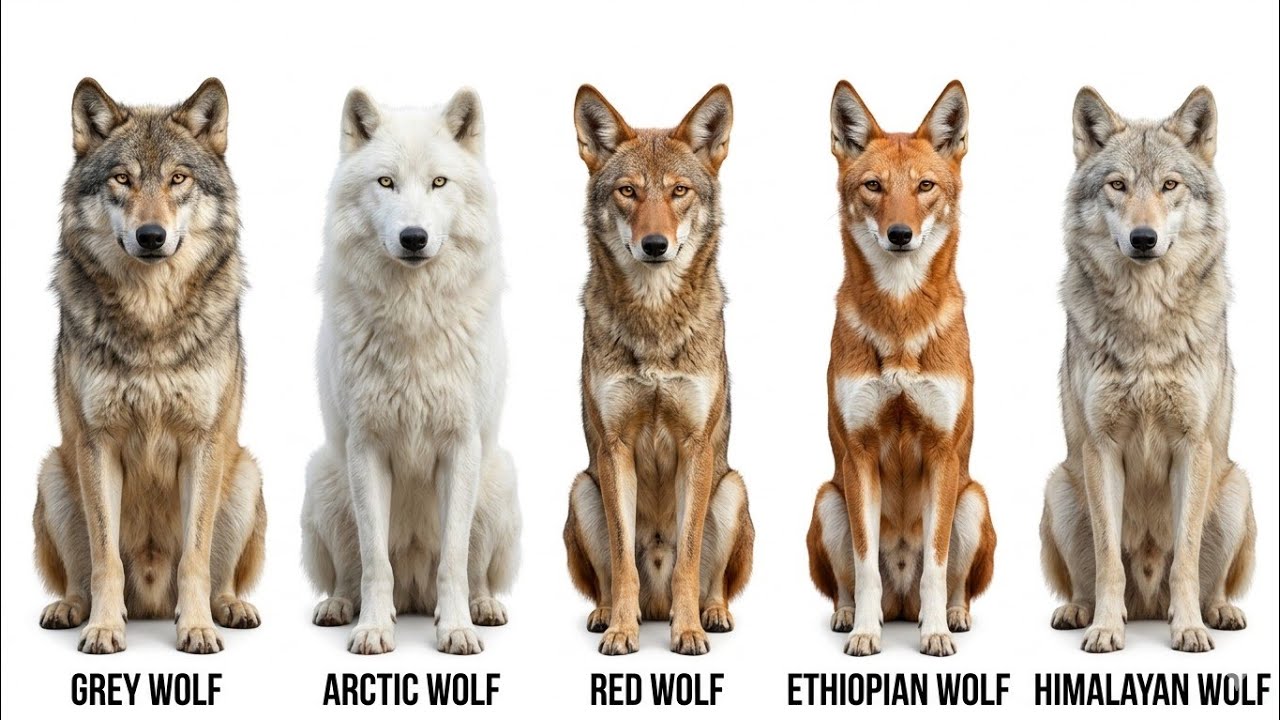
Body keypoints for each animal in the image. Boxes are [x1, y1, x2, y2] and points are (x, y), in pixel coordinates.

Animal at [32, 78, 265, 654]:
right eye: (123, 179)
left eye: (178, 178)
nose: (152, 236)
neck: (152, 317)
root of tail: (152, 606)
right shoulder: (97, 442)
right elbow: (105, 558)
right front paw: (103, 629)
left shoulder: (203, 441)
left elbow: (196, 559)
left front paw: (197, 628)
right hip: (55, 475)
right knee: (80, 575)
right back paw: (72, 609)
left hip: (244, 476)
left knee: (220, 574)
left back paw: (228, 608)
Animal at [300, 87, 520, 655]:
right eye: (386, 182)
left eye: (439, 182)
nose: (414, 237)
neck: (414, 318)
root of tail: (415, 596)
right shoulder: (366, 448)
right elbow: (375, 562)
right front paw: (374, 629)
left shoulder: (461, 448)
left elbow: (454, 561)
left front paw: (457, 629)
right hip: (326, 479)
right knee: (349, 572)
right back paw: (341, 607)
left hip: (497, 481)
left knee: (475, 571)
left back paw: (482, 608)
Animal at [561, 84, 755, 656]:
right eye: (628, 191)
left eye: (678, 192)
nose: (654, 245)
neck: (654, 320)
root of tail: (655, 603)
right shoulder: (614, 447)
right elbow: (623, 558)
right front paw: (621, 633)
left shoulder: (696, 446)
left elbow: (688, 560)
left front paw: (687, 631)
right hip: (582, 489)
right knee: (609, 579)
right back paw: (608, 615)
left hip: (731, 488)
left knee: (712, 582)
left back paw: (711, 614)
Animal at [806, 81, 996, 657]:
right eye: (874, 186)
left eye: (924, 186)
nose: (899, 233)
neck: (899, 320)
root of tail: (901, 606)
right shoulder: (859, 455)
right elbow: (866, 566)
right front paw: (866, 635)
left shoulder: (942, 454)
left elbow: (935, 565)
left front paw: (935, 635)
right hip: (828, 501)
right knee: (848, 584)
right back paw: (851, 617)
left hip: (972, 501)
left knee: (955, 584)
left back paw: (950, 617)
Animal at [1040, 86, 1256, 653]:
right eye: (1118, 185)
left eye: (1169, 185)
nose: (1143, 238)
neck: (1146, 321)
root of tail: (1148, 608)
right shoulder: (1101, 448)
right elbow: (1108, 560)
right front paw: (1104, 630)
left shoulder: (1192, 446)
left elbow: (1186, 558)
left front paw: (1190, 630)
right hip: (1060, 488)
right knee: (1086, 578)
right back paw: (1080, 612)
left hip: (1236, 488)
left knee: (1212, 581)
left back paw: (1217, 613)